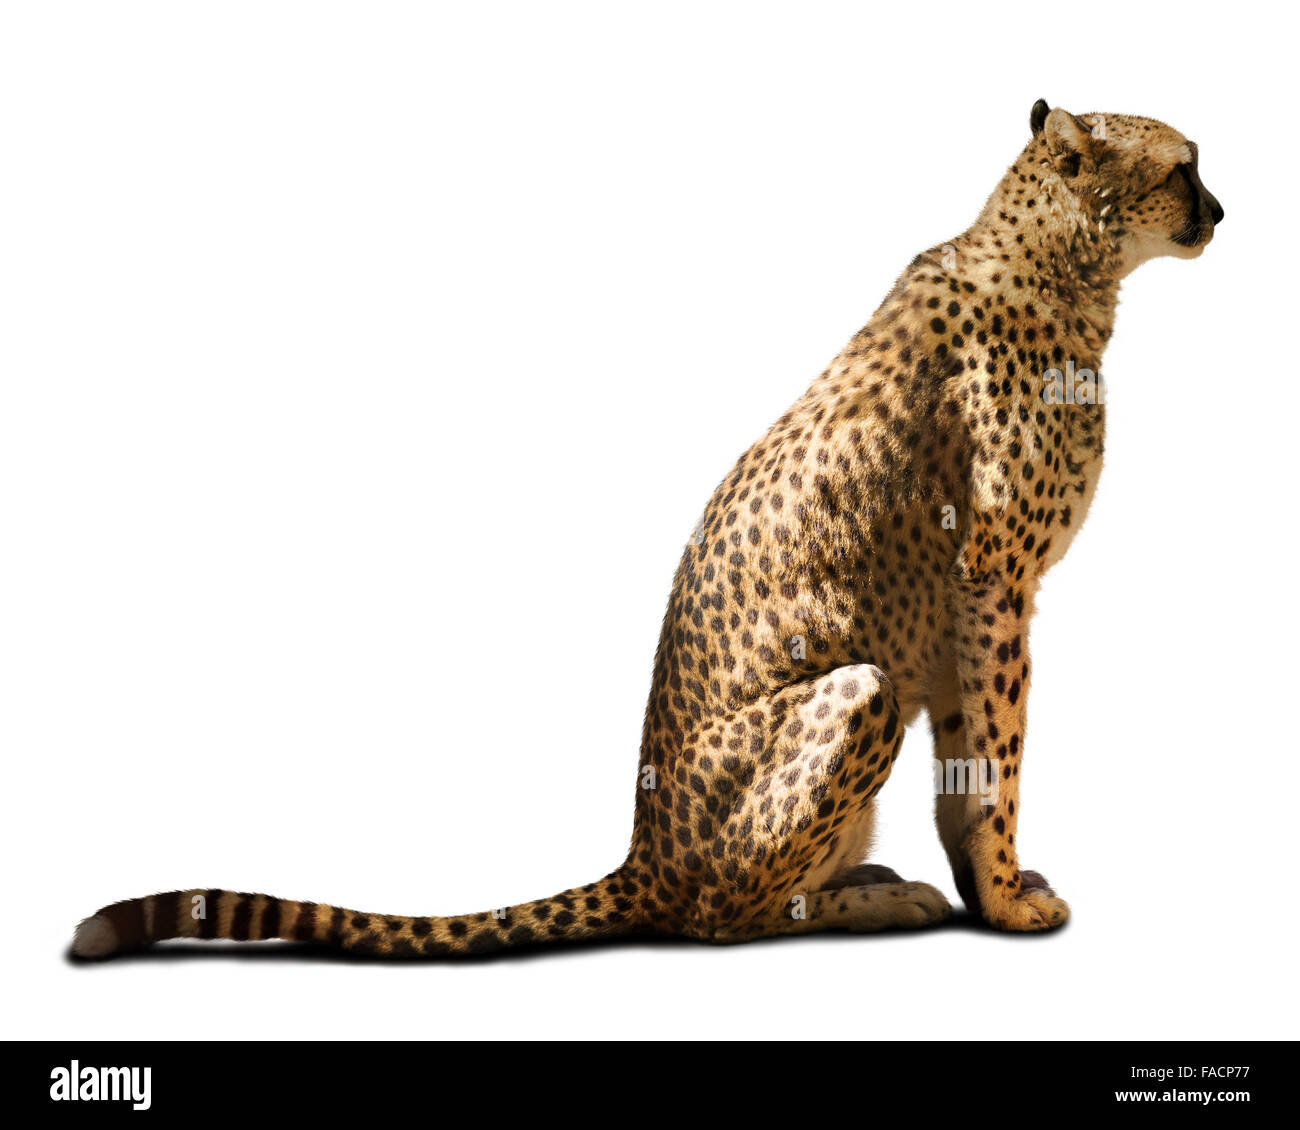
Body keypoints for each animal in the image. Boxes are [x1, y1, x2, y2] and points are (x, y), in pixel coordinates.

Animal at [72, 100, 1221, 959]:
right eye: (1184, 167)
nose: (1220, 207)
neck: (1058, 257)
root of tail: (642, 854)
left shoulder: (964, 608)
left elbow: (965, 763)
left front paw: (992, 888)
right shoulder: (994, 582)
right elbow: (996, 758)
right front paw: (1007, 898)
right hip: (855, 692)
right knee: (721, 917)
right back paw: (871, 901)